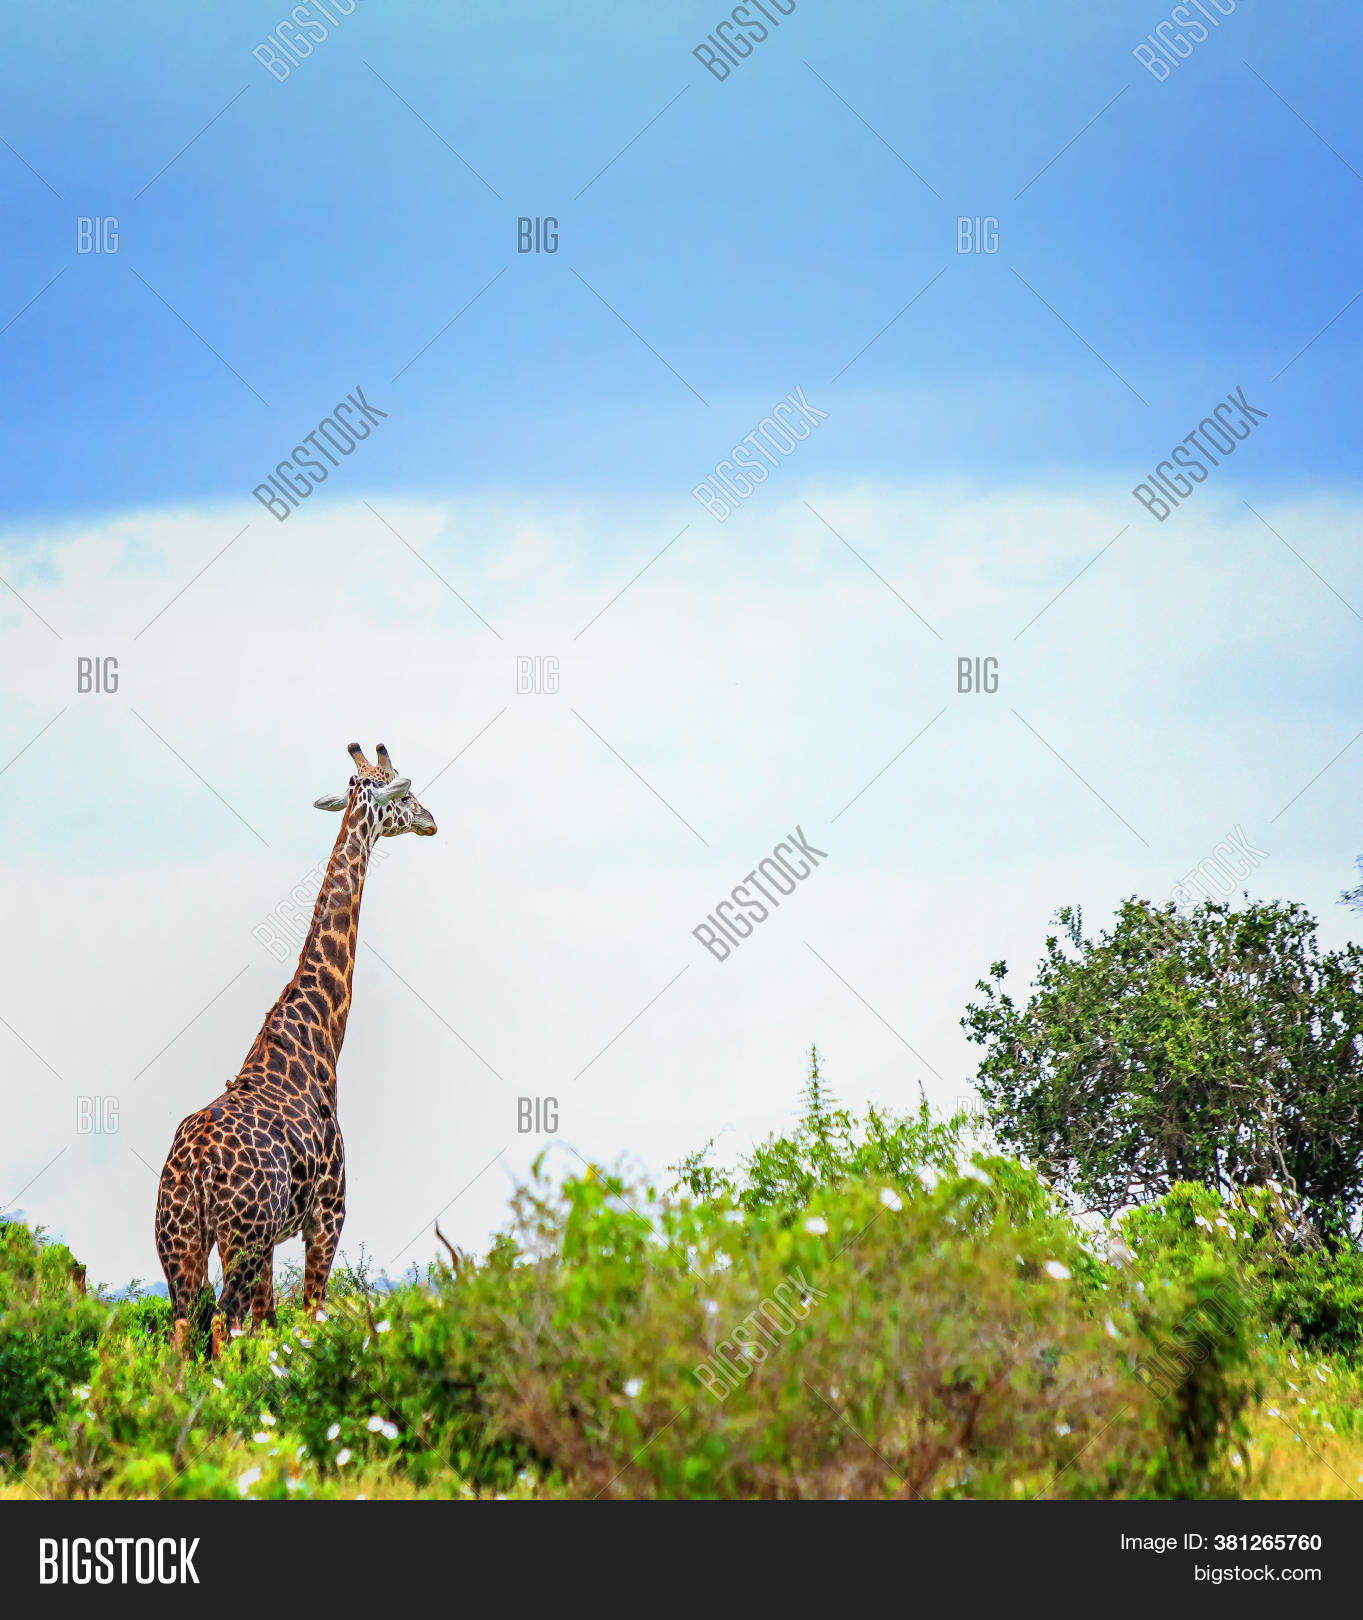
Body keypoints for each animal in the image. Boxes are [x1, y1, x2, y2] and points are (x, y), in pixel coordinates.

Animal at [155, 742, 437, 1356]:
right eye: (404, 796)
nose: (431, 820)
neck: (317, 1039)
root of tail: (194, 1169)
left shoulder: (276, 1240)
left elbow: (268, 1327)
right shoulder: (328, 1213)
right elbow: (308, 1319)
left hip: (180, 1240)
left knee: (184, 1332)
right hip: (240, 1235)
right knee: (221, 1324)